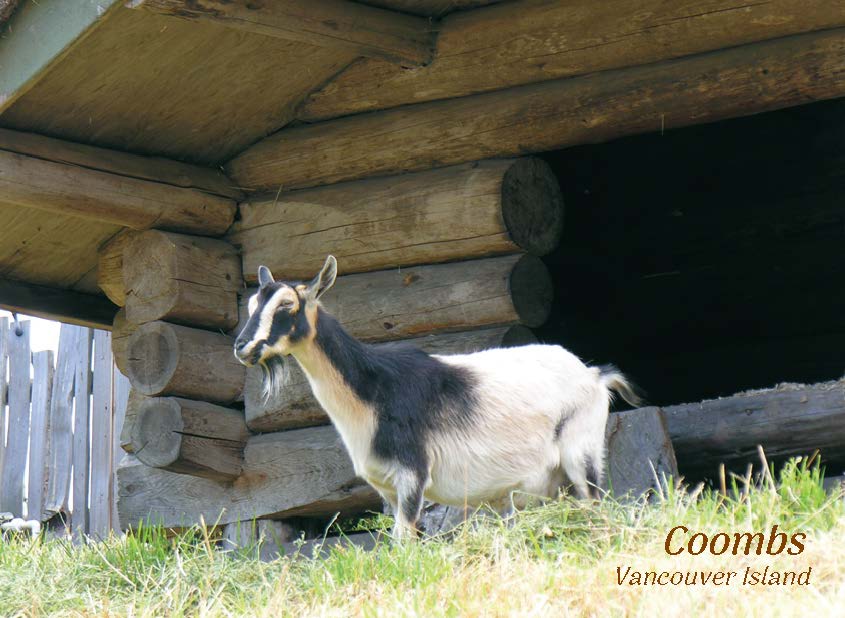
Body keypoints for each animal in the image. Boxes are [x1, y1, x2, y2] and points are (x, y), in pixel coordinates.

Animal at [233, 256, 639, 538]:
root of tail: (594, 375)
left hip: (581, 455)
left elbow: (404, 541)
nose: (242, 347)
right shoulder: (387, 488)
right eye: (251, 306)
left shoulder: (413, 474)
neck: (374, 392)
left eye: (286, 306)